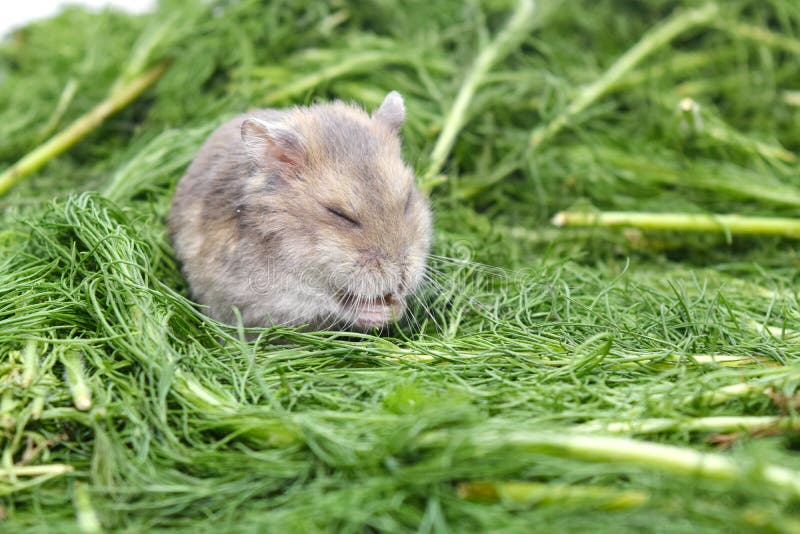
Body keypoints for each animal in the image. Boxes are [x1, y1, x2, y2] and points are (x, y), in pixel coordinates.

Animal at [168, 91, 432, 331]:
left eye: (408, 200)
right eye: (339, 214)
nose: (402, 276)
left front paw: (398, 306)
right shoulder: (275, 292)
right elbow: (331, 303)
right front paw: (380, 311)